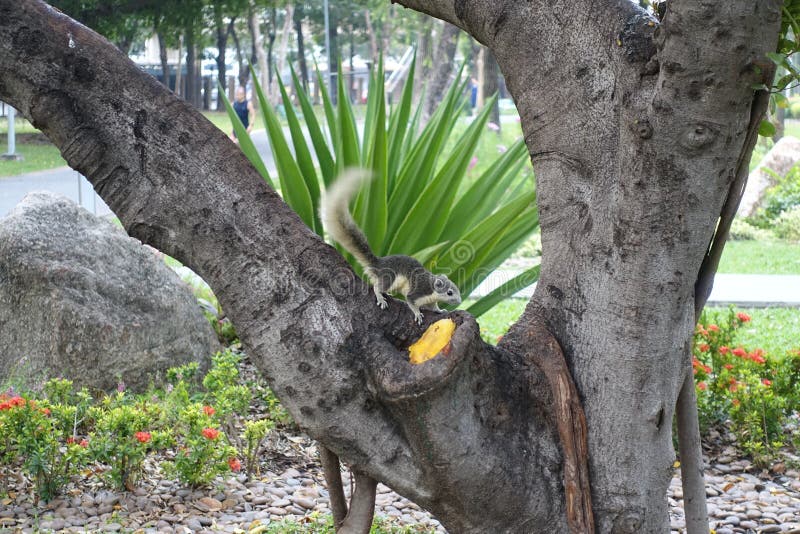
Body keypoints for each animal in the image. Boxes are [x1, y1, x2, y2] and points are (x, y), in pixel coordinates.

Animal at [321, 170, 462, 324]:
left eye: (456, 288)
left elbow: (434, 307)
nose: (459, 301)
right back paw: (381, 297)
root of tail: (378, 264)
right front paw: (417, 314)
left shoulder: (430, 300)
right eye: (449, 292)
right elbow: (411, 302)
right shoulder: (418, 292)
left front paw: (440, 310)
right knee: (377, 286)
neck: (431, 288)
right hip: (390, 277)